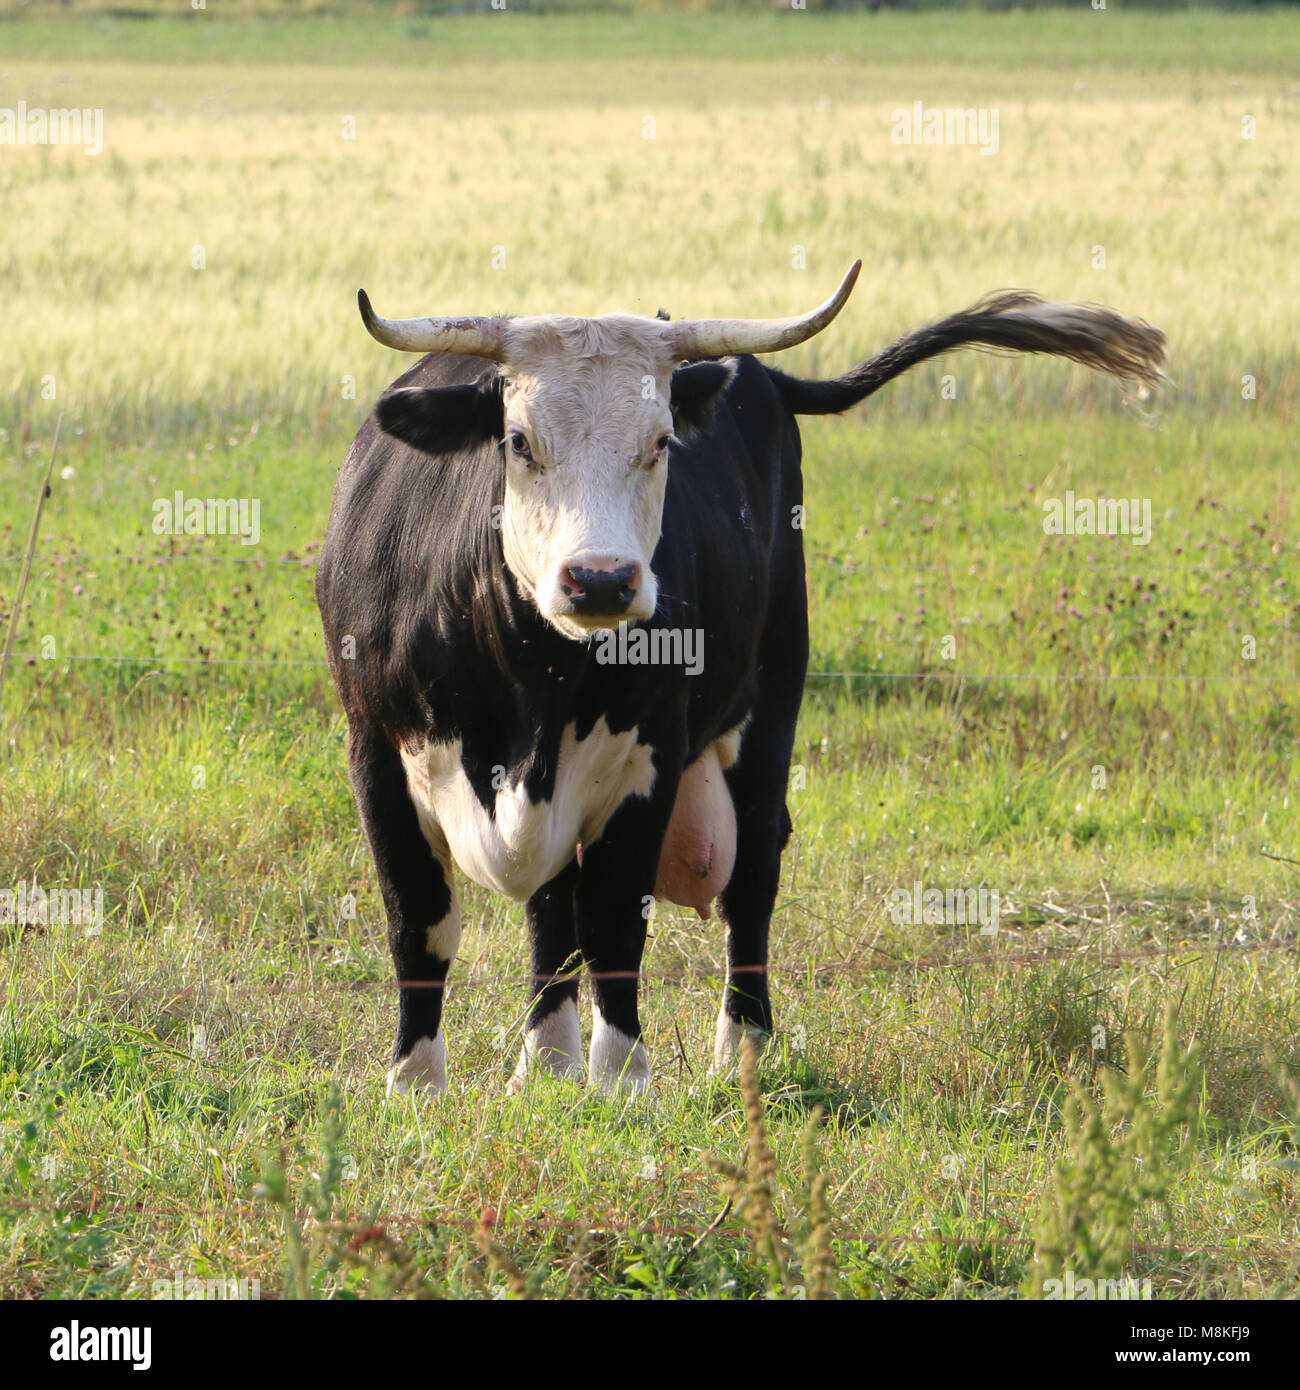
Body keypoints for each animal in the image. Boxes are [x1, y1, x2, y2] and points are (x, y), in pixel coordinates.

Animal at [315, 262, 1164, 1096]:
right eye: (518, 442)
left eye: (659, 442)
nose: (601, 580)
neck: (534, 683)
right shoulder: (373, 750)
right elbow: (420, 921)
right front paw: (416, 1084)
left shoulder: (650, 754)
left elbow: (615, 919)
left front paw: (623, 1081)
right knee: (552, 909)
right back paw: (547, 1065)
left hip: (774, 700)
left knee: (751, 878)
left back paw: (742, 1048)